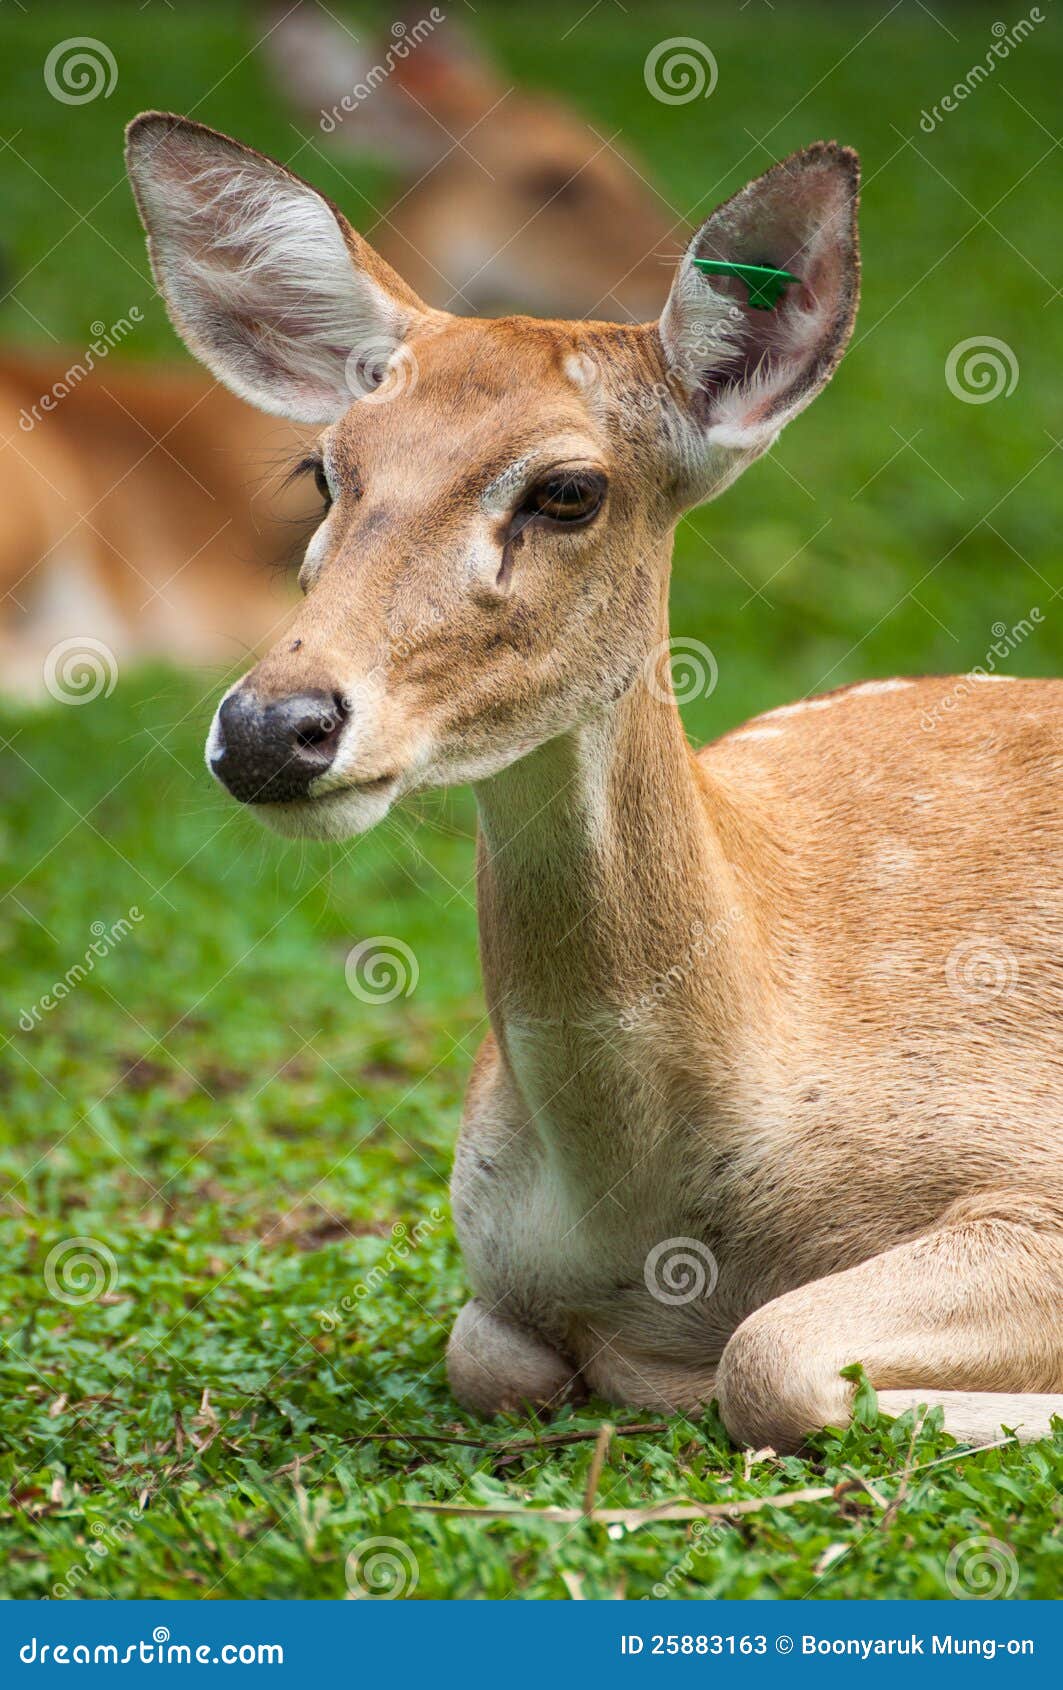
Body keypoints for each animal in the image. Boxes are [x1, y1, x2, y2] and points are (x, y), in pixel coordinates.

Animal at [125, 111, 1063, 1452]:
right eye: (321, 471)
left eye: (568, 490)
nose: (272, 726)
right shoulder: (491, 1269)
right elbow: (489, 1355)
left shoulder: (1031, 1169)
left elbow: (767, 1355)